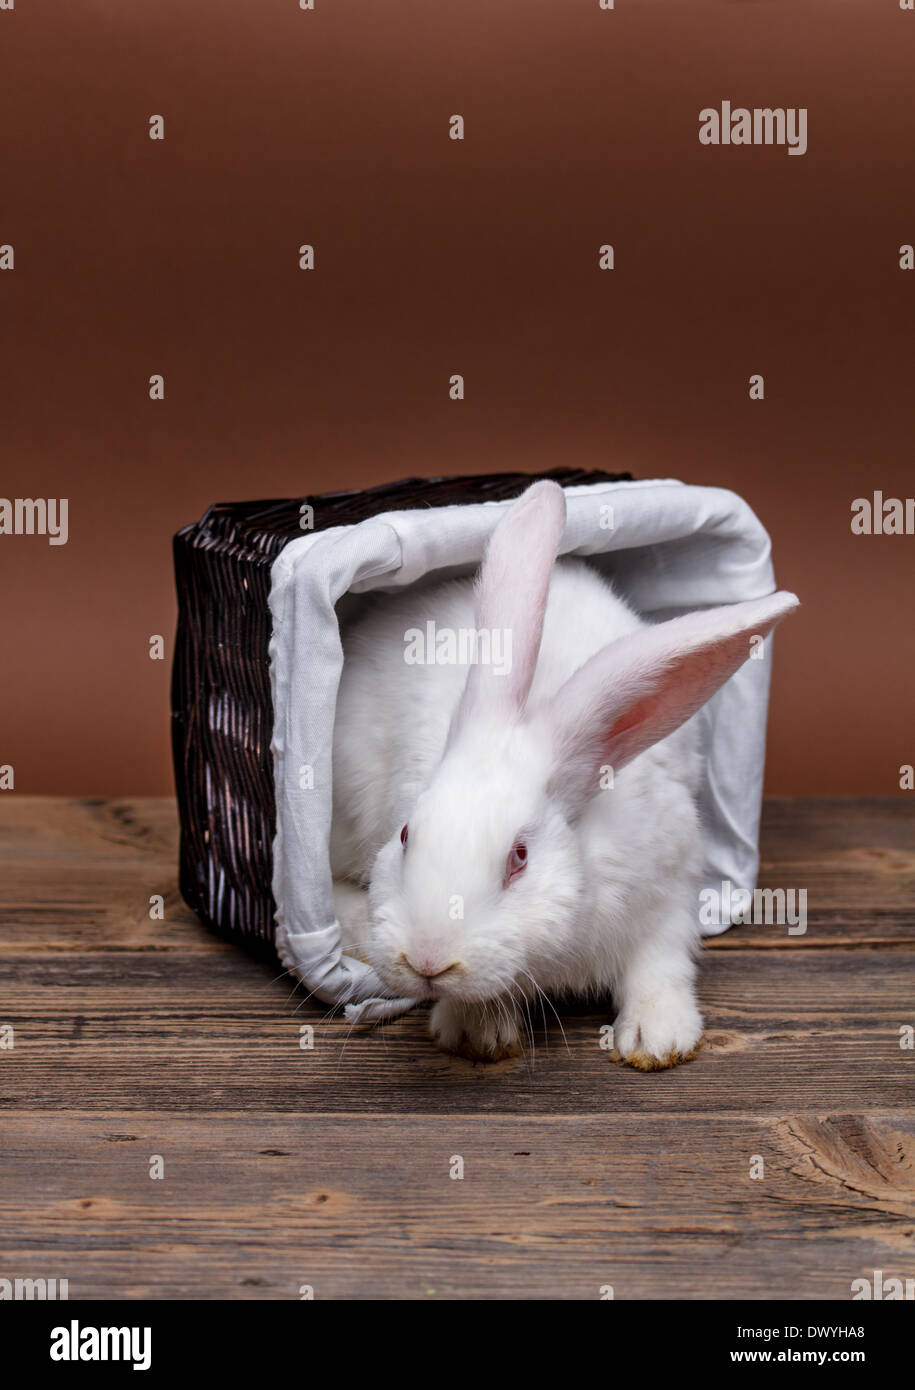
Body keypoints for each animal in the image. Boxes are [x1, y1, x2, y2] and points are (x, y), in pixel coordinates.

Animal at [329, 480, 798, 1068]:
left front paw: (657, 1040)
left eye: (520, 857)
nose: (428, 961)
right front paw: (477, 1033)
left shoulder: (667, 894)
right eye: (406, 836)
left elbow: (660, 964)